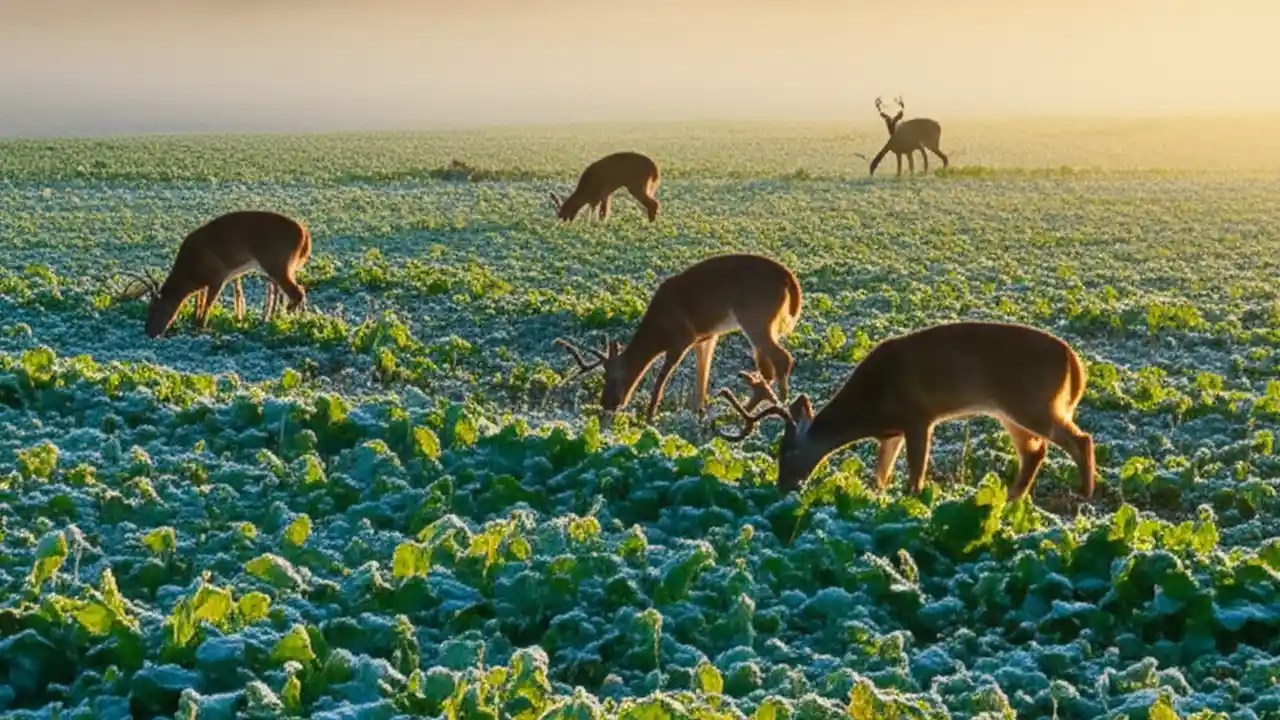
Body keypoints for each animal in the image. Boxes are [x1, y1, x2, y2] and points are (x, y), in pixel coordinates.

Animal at [121, 210, 312, 338]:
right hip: (283, 269)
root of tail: (304, 234)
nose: (148, 332)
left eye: (153, 309)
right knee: (295, 291)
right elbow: (199, 300)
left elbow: (208, 303)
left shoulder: (219, 277)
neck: (190, 266)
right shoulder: (204, 283)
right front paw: (195, 320)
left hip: (278, 267)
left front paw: (201, 326)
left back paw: (283, 318)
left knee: (297, 292)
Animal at [554, 254, 802, 423]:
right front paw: (699, 412)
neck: (659, 330)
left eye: (613, 376)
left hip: (755, 318)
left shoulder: (681, 340)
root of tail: (789, 279)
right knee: (769, 368)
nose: (606, 404)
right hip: (761, 323)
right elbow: (702, 376)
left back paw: (779, 406)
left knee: (782, 359)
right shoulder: (705, 337)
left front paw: (649, 417)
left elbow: (660, 380)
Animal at [716, 321, 1095, 503]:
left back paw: (1085, 493)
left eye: (788, 451)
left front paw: (914, 501)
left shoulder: (918, 416)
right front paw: (879, 497)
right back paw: (1014, 498)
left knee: (1081, 439)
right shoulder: (892, 432)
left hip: (1032, 403)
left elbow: (915, 475)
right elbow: (880, 475)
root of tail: (1075, 363)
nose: (783, 488)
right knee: (1035, 451)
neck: (873, 403)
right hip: (1009, 411)